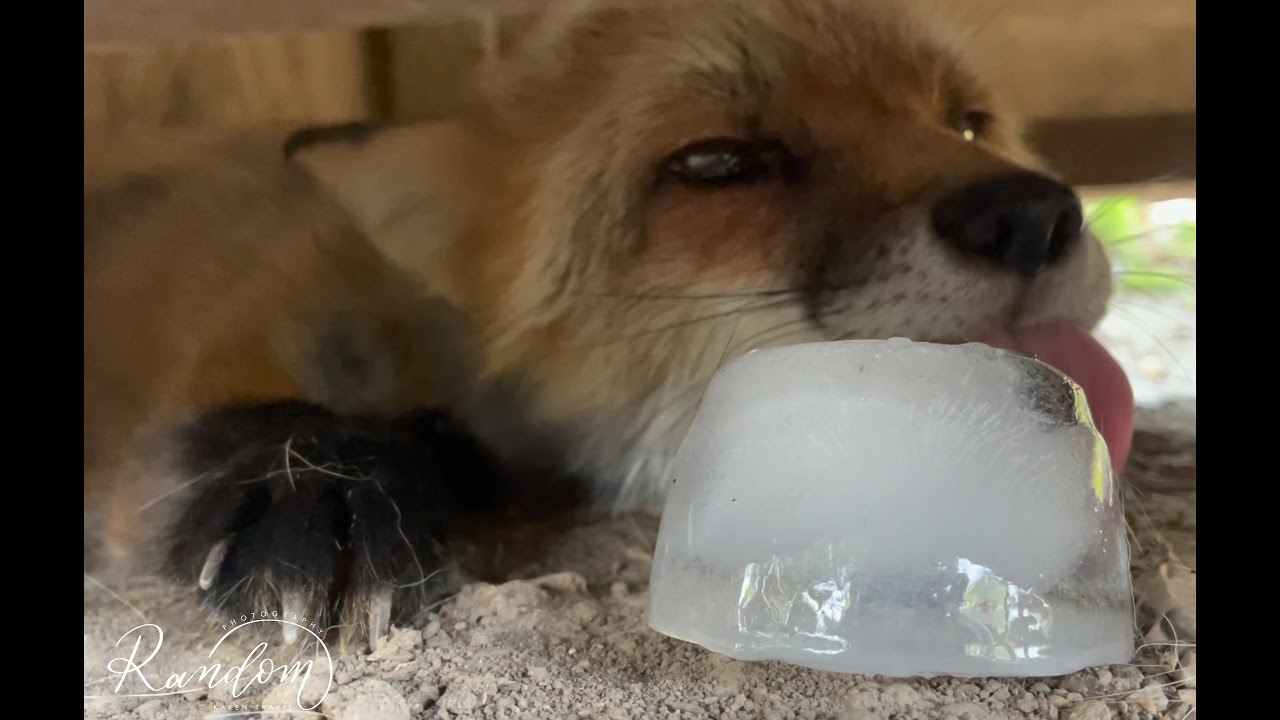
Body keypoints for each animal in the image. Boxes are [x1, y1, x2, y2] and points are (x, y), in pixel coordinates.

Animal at [83, 0, 1135, 651]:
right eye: (716, 164)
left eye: (966, 122)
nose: (1034, 216)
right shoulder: (252, 314)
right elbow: (248, 427)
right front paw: (319, 495)